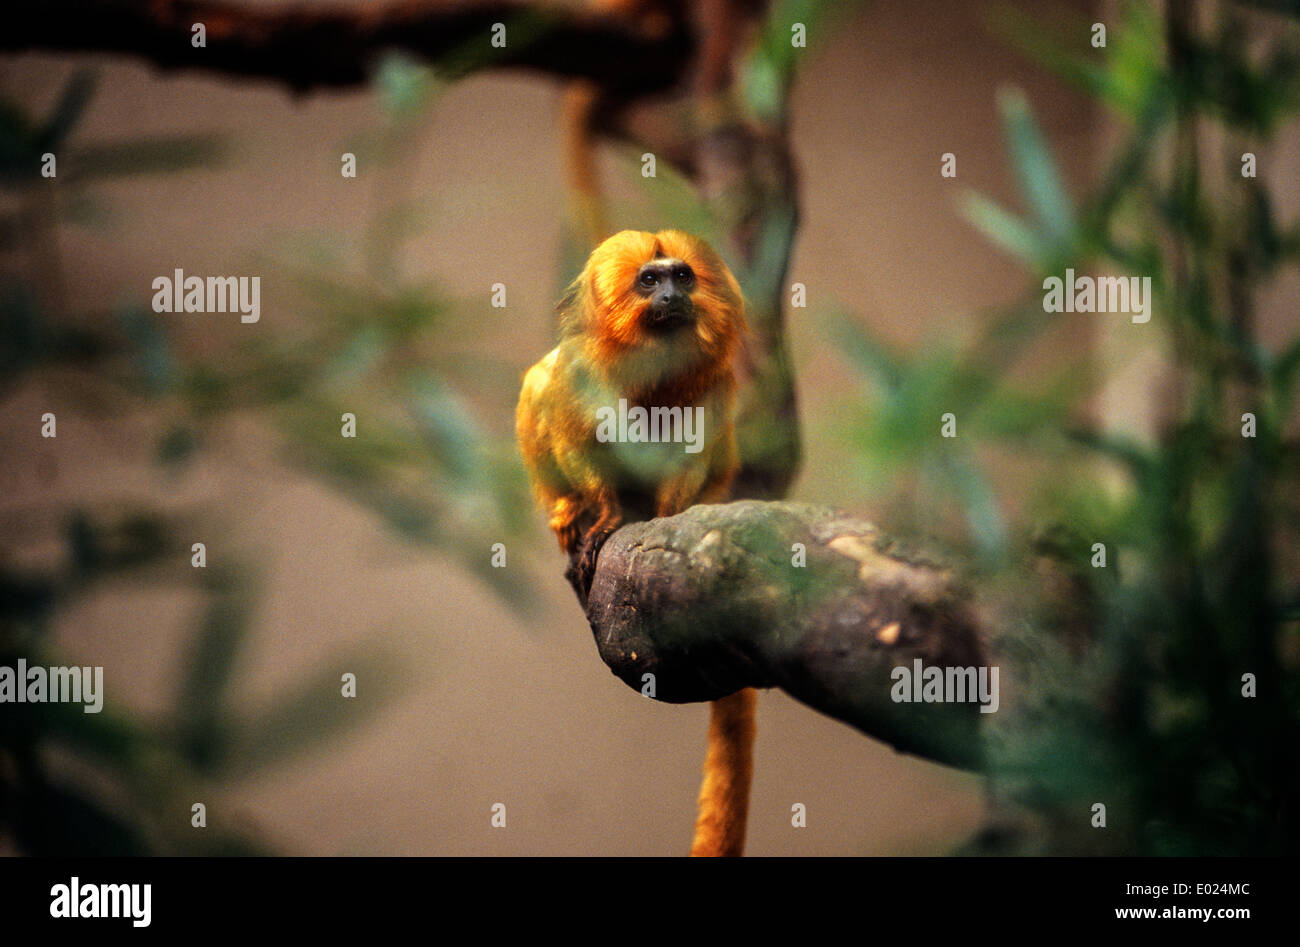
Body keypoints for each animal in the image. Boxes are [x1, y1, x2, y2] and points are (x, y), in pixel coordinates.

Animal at [516, 228, 756, 856]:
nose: (672, 296)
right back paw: (570, 514)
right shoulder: (579, 381)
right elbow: (573, 431)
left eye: (683, 276)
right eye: (650, 280)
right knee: (538, 383)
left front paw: (668, 518)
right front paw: (600, 516)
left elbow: (690, 453)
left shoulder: (714, 387)